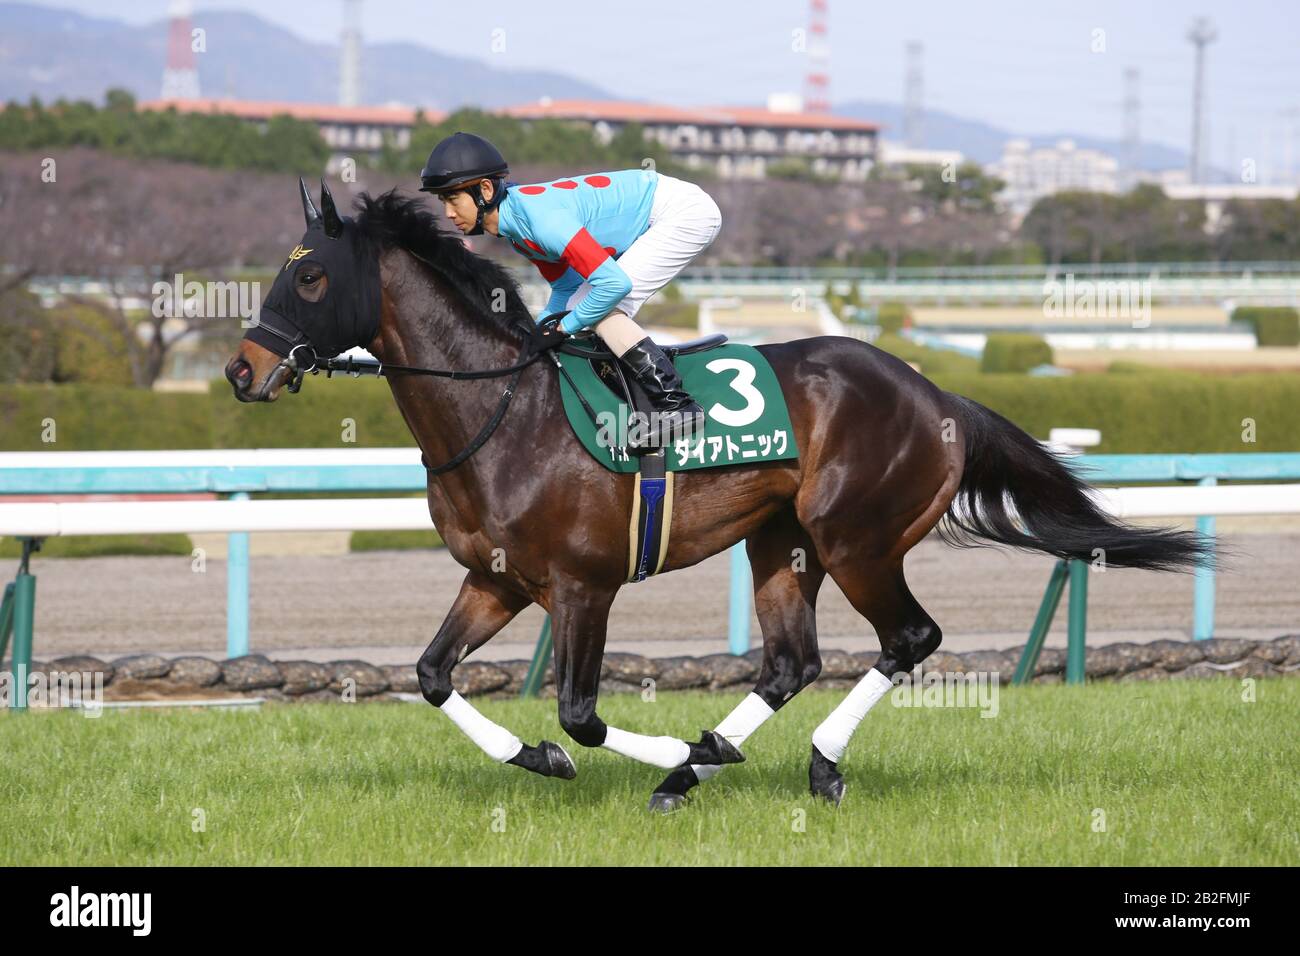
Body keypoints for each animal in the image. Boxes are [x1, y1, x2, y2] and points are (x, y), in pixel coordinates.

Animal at [225, 180, 1207, 812]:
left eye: (310, 276)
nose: (241, 370)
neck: (502, 411)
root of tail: (937, 394)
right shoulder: (496, 580)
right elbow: (431, 677)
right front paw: (544, 758)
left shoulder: (583, 586)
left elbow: (581, 714)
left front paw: (654, 746)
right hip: (782, 543)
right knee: (790, 664)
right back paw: (700, 771)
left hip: (857, 540)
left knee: (910, 639)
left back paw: (789, 765)